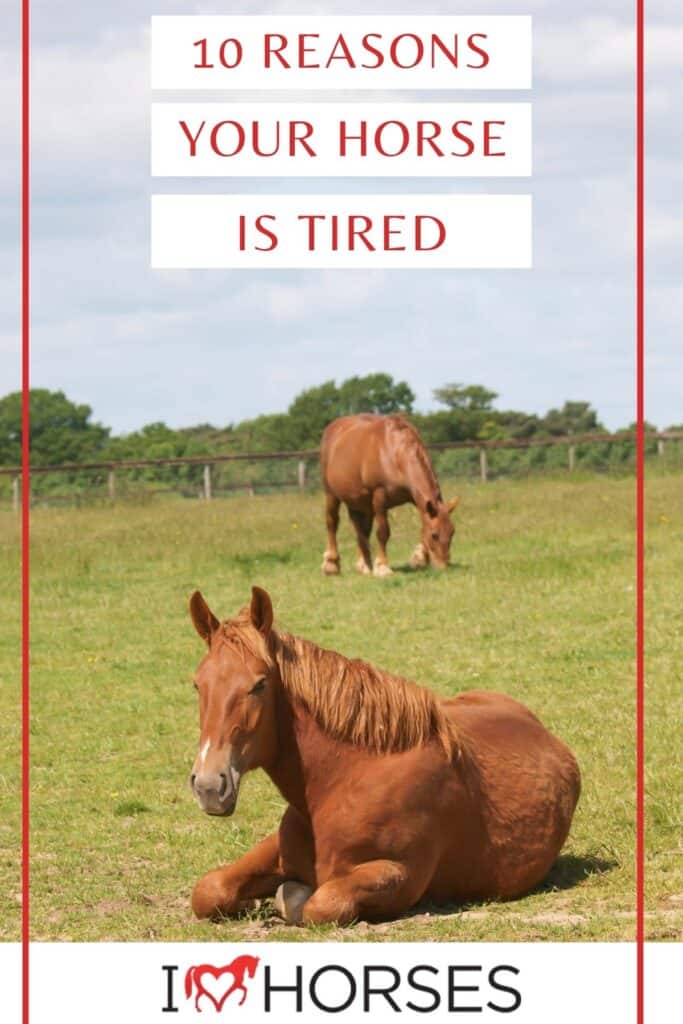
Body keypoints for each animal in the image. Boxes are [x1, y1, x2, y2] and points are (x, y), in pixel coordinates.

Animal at [187, 588, 581, 927]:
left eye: (259, 685)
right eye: (197, 684)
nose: (208, 786)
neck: (345, 778)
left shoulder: (401, 875)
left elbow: (319, 902)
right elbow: (208, 890)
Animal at [319, 413, 459, 577]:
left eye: (452, 532)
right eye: (434, 535)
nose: (443, 566)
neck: (394, 452)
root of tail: (332, 428)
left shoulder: (414, 497)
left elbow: (423, 522)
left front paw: (419, 557)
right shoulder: (380, 497)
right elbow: (383, 532)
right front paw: (382, 566)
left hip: (360, 502)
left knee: (361, 529)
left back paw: (363, 564)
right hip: (331, 493)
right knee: (332, 523)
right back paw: (331, 564)